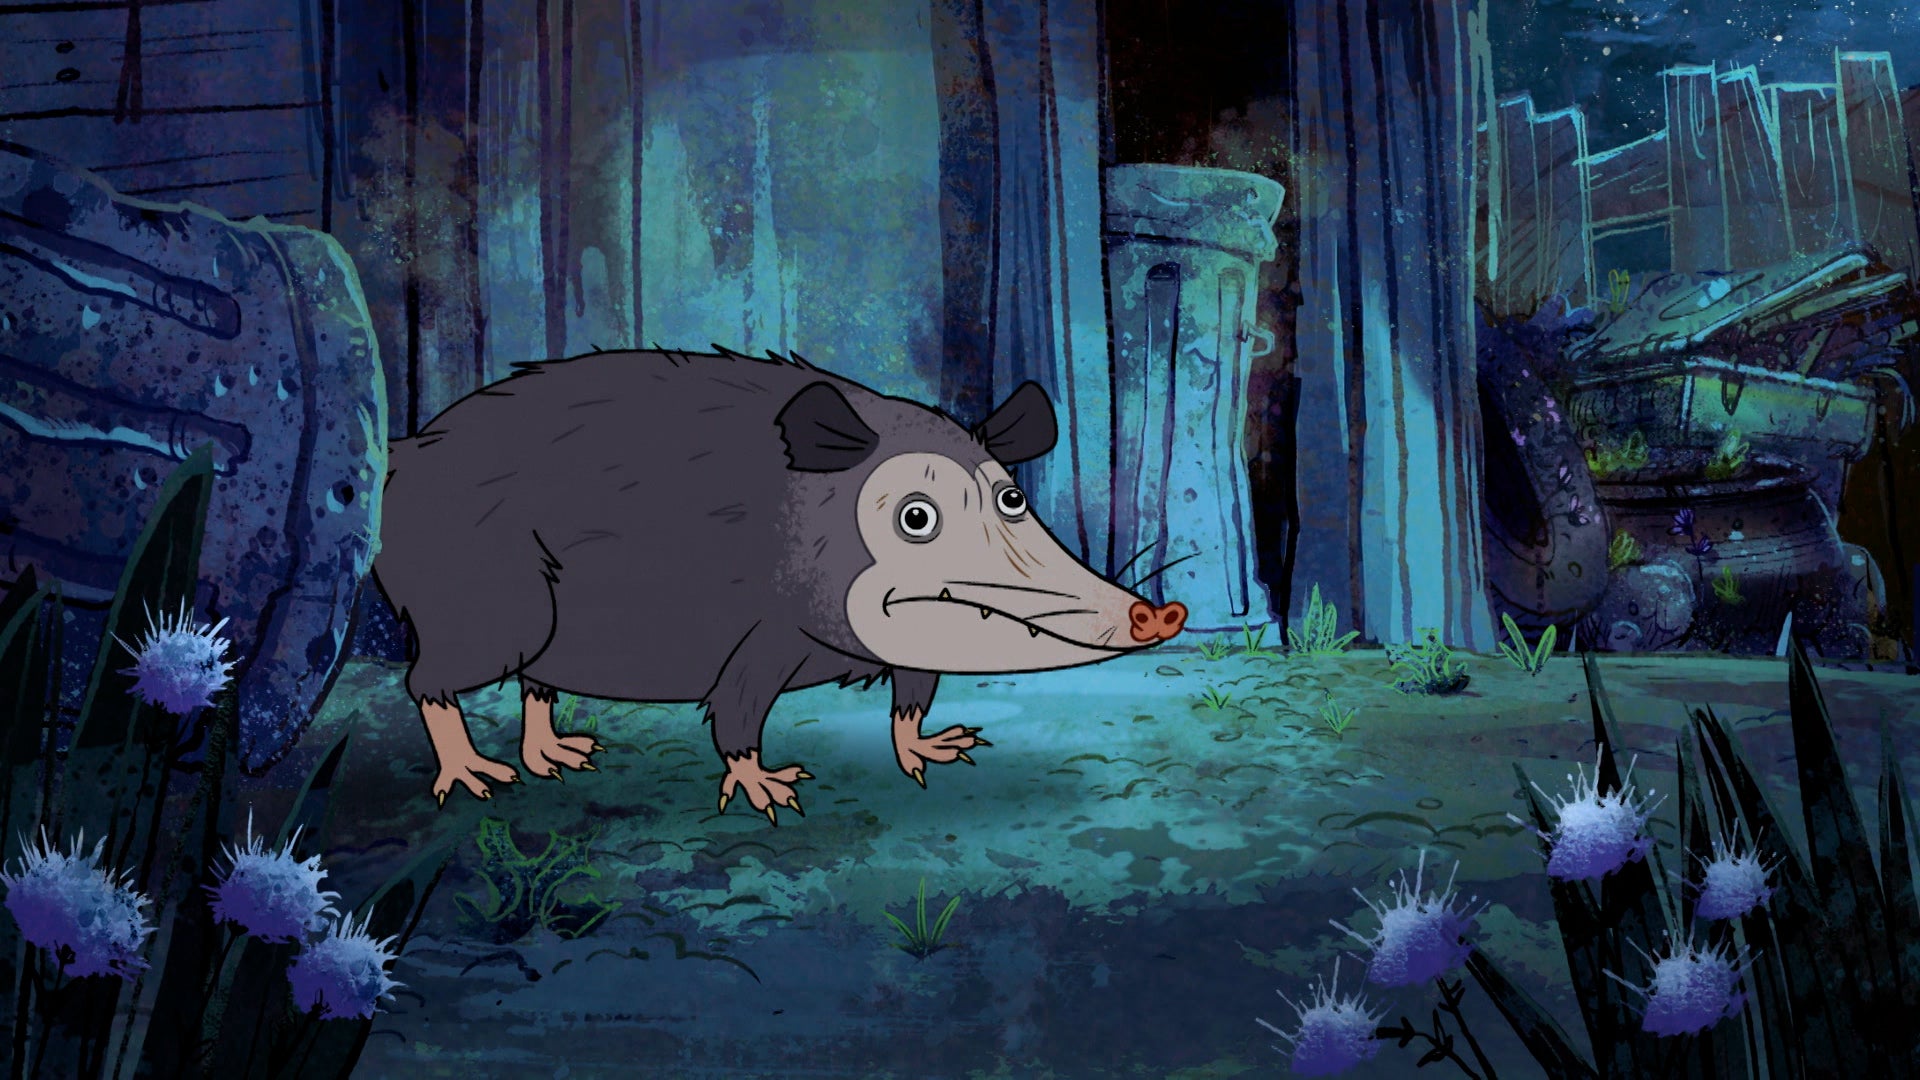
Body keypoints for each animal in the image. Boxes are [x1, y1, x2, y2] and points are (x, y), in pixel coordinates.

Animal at [370, 347, 1187, 823]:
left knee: (535, 684)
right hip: (493, 602)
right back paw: (475, 773)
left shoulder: (907, 648)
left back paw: (557, 754)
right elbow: (736, 713)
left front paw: (934, 748)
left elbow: (911, 698)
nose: (1159, 614)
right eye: (916, 517)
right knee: (431, 680)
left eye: (1013, 499)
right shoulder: (761, 638)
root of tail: (402, 455)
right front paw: (769, 788)